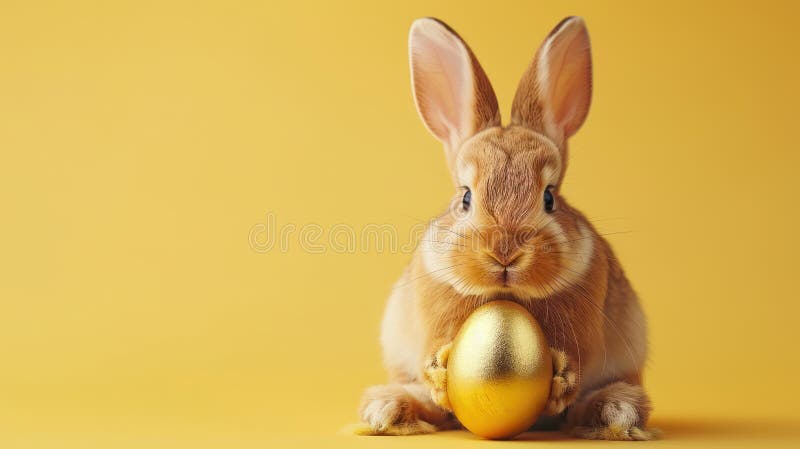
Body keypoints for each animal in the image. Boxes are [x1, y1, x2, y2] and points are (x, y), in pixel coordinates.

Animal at [358, 17, 657, 440]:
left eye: (549, 197)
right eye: (465, 198)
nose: (504, 251)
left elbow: (576, 360)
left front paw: (560, 381)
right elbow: (433, 357)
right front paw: (439, 374)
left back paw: (615, 413)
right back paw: (388, 410)